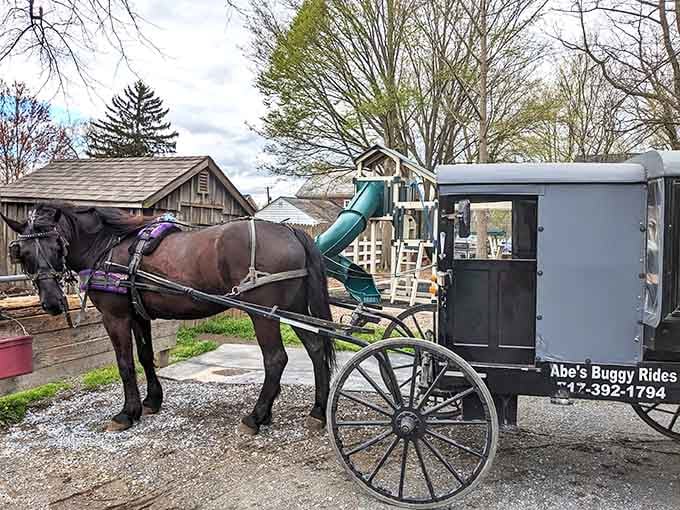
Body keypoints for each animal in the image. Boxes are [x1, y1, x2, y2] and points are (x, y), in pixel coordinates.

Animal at [1, 203, 336, 434]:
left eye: (57, 245)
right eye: (23, 252)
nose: (52, 303)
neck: (108, 248)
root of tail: (290, 231)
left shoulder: (115, 316)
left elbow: (125, 363)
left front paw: (127, 412)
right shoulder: (138, 315)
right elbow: (146, 357)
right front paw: (151, 401)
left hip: (264, 315)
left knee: (276, 359)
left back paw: (256, 416)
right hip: (292, 309)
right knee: (316, 348)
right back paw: (318, 411)